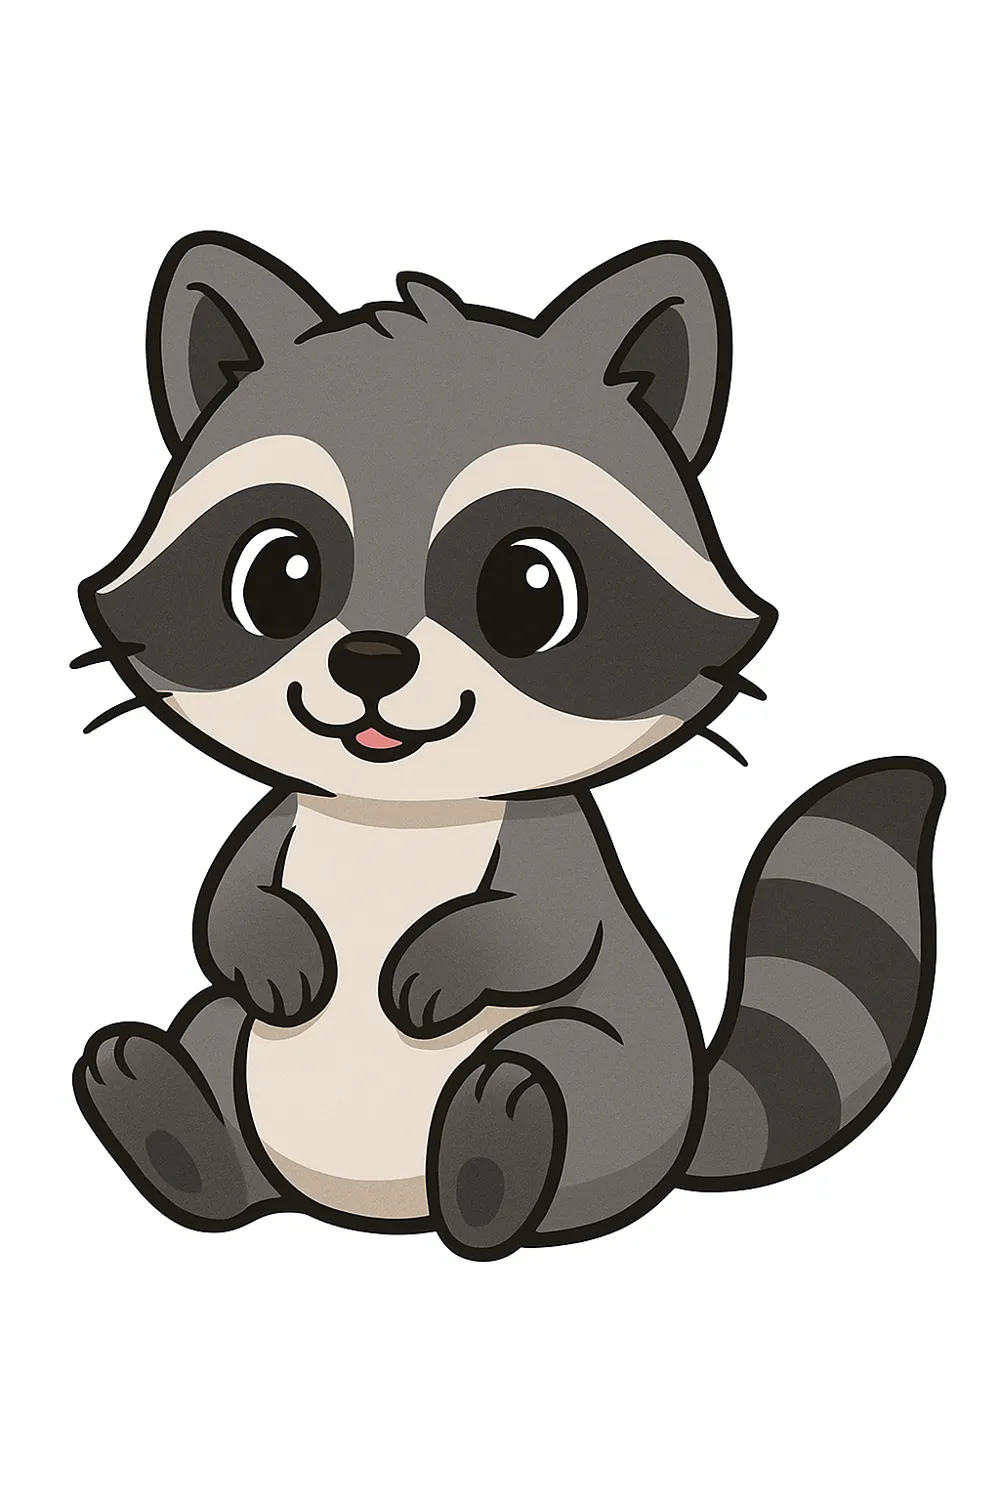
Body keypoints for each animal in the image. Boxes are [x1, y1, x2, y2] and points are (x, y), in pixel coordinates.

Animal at [73, 233, 944, 1259]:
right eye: (278, 575)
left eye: (529, 589)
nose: (372, 660)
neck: (401, 813)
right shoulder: (283, 813)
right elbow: (227, 902)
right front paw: (270, 938)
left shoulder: (553, 843)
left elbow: (545, 928)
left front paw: (451, 959)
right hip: (247, 1052)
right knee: (215, 1027)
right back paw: (176, 1130)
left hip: (617, 1076)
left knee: (553, 1066)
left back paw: (493, 1165)